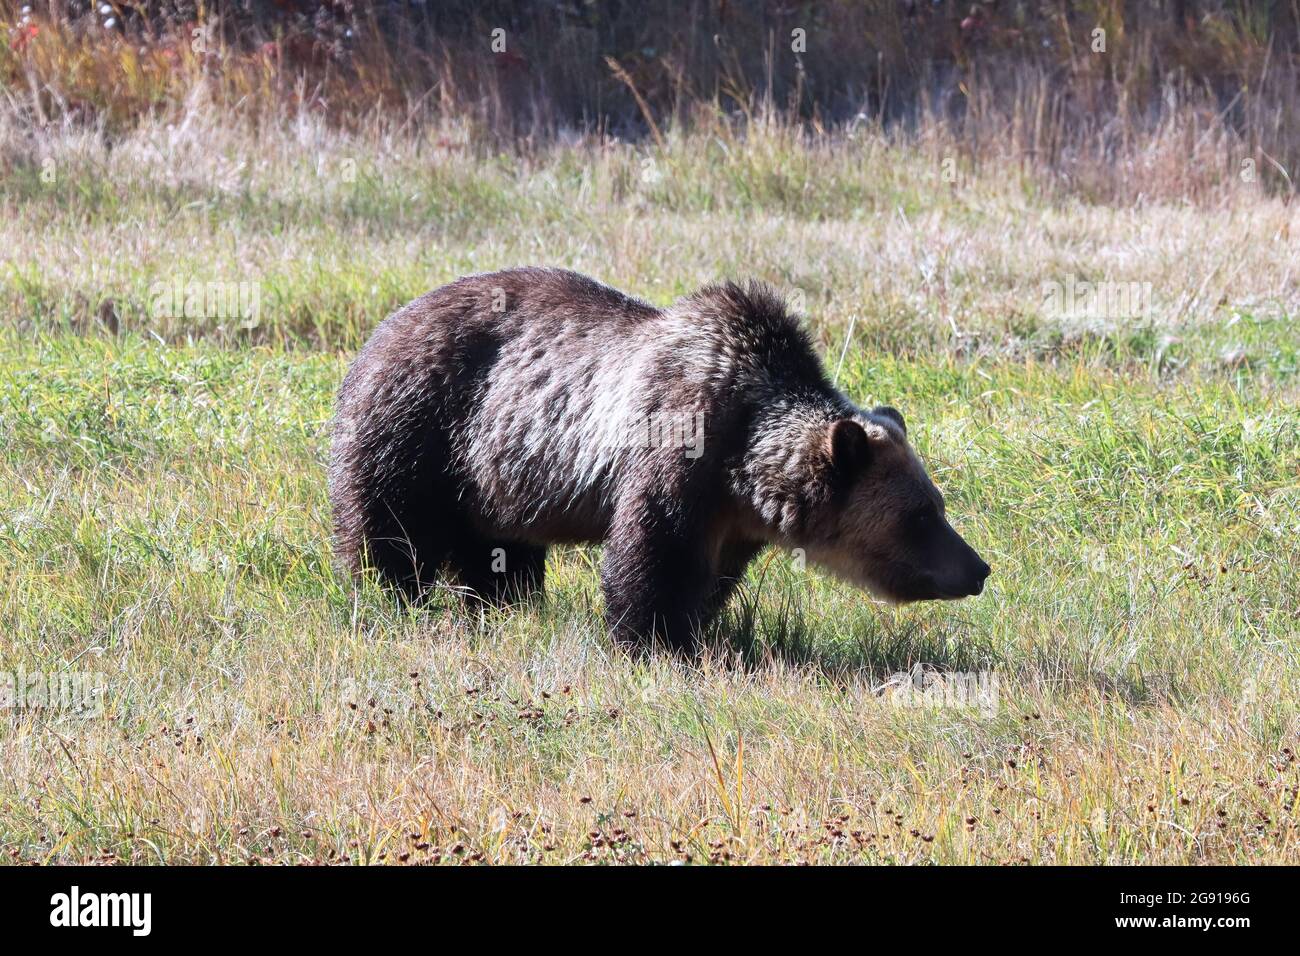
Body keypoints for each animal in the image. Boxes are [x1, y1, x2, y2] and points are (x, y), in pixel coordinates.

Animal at [328, 267, 990, 650]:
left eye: (937, 504)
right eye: (921, 516)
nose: (978, 569)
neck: (740, 465)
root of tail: (378, 330)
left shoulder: (733, 522)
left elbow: (711, 579)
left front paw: (699, 626)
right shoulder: (673, 450)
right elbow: (651, 558)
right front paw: (655, 640)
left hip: (493, 471)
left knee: (498, 551)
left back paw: (504, 604)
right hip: (421, 425)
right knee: (390, 529)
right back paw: (392, 598)